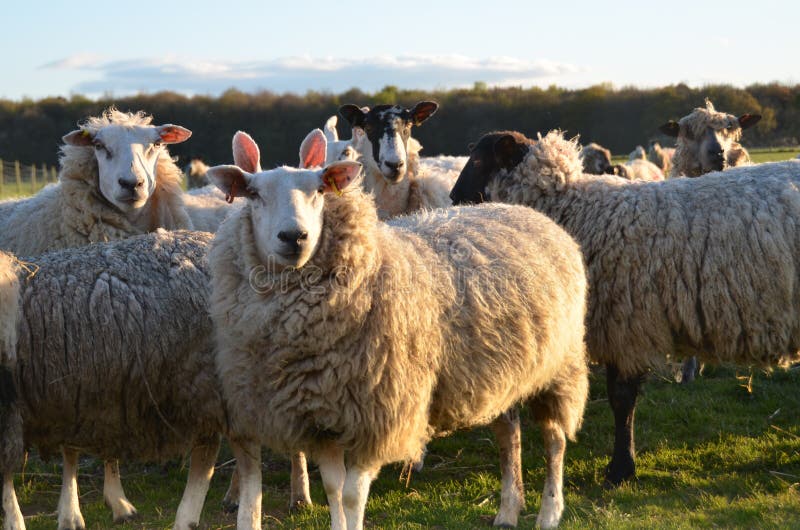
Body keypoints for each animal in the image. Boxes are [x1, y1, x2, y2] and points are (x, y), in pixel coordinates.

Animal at [205, 130, 589, 530]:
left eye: (319, 191)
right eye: (254, 194)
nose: (294, 237)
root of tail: (526, 212)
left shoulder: (379, 415)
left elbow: (352, 495)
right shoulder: (323, 416)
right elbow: (333, 490)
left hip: (559, 366)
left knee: (555, 441)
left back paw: (549, 511)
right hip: (504, 372)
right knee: (509, 435)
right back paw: (508, 509)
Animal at [449, 129, 800, 488]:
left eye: (478, 160)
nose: (452, 197)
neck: (578, 209)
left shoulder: (626, 325)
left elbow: (621, 400)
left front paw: (620, 468)